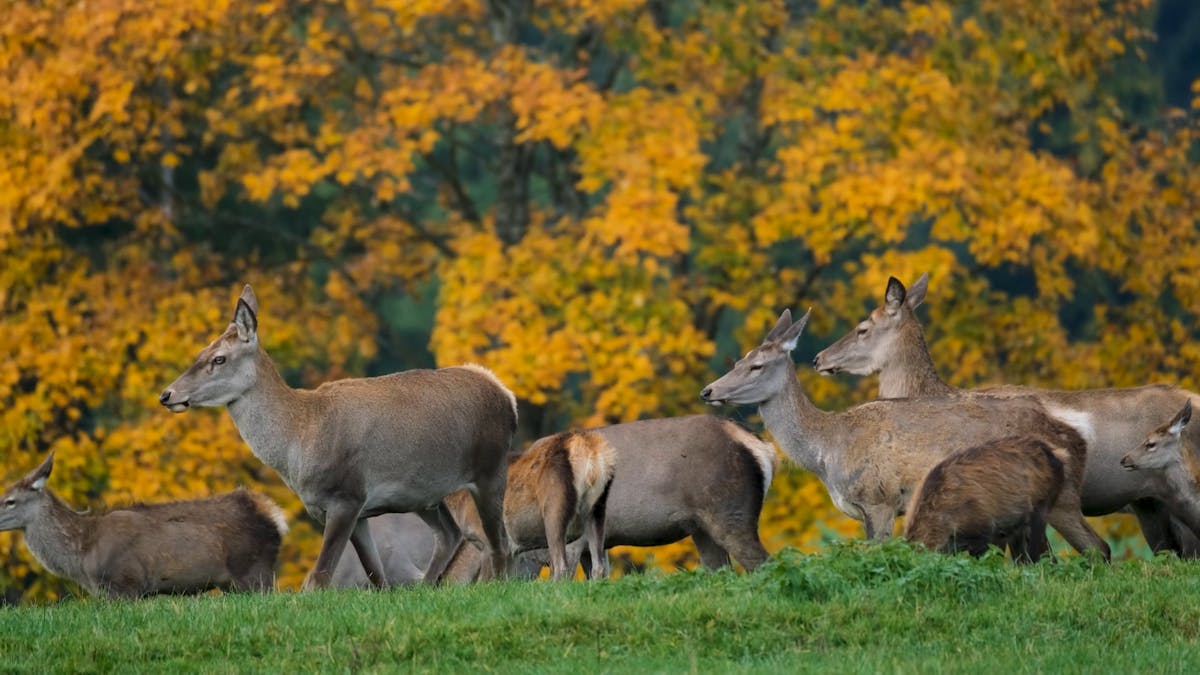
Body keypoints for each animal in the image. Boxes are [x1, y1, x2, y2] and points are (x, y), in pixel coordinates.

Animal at [160, 285, 517, 588]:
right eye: (200, 351)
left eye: (219, 358)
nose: (167, 394)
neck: (298, 441)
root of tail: (505, 393)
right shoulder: (357, 509)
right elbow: (377, 578)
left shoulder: (346, 495)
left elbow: (318, 579)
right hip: (423, 492)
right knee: (449, 533)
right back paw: (426, 587)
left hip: (490, 468)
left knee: (501, 543)